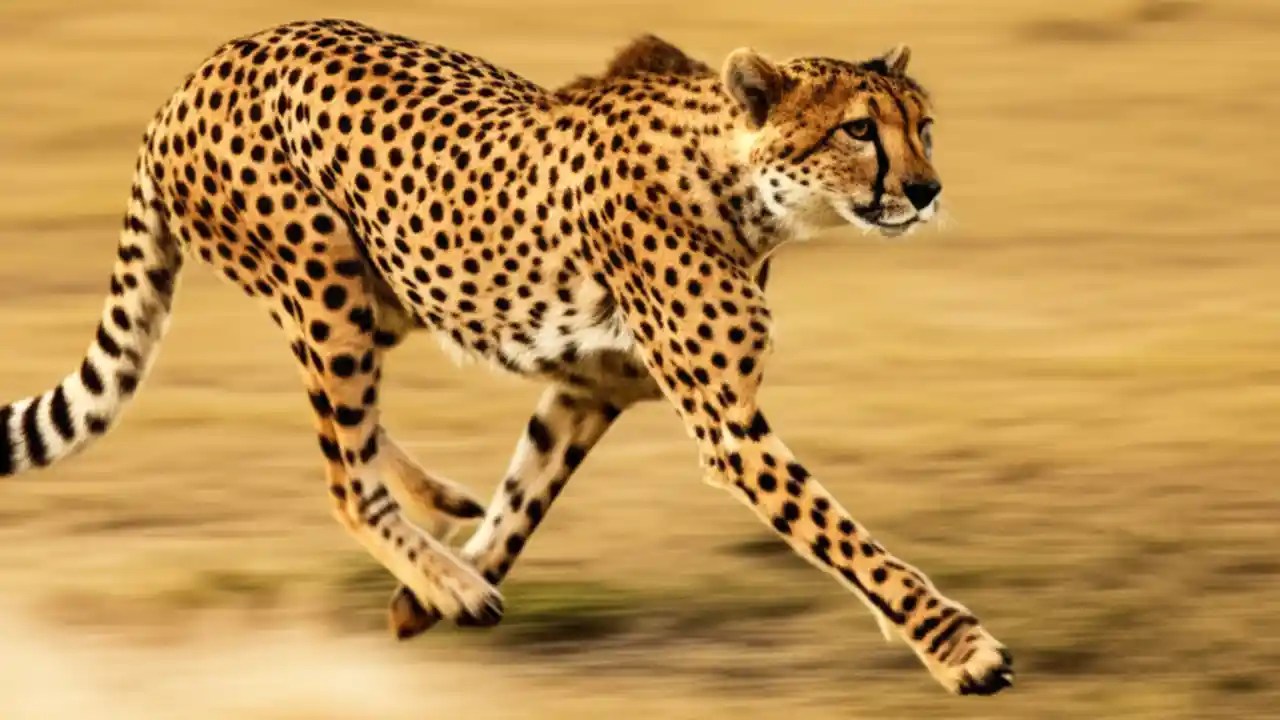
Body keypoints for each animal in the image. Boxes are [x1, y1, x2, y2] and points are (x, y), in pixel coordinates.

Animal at [0, 20, 1012, 695]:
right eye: (857, 129)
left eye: (924, 126)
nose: (927, 190)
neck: (742, 184)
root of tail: (206, 65)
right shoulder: (727, 428)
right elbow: (847, 539)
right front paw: (961, 649)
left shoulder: (589, 389)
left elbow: (526, 497)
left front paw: (436, 590)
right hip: (323, 277)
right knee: (342, 472)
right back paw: (437, 560)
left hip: (388, 284)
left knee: (344, 430)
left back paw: (439, 522)